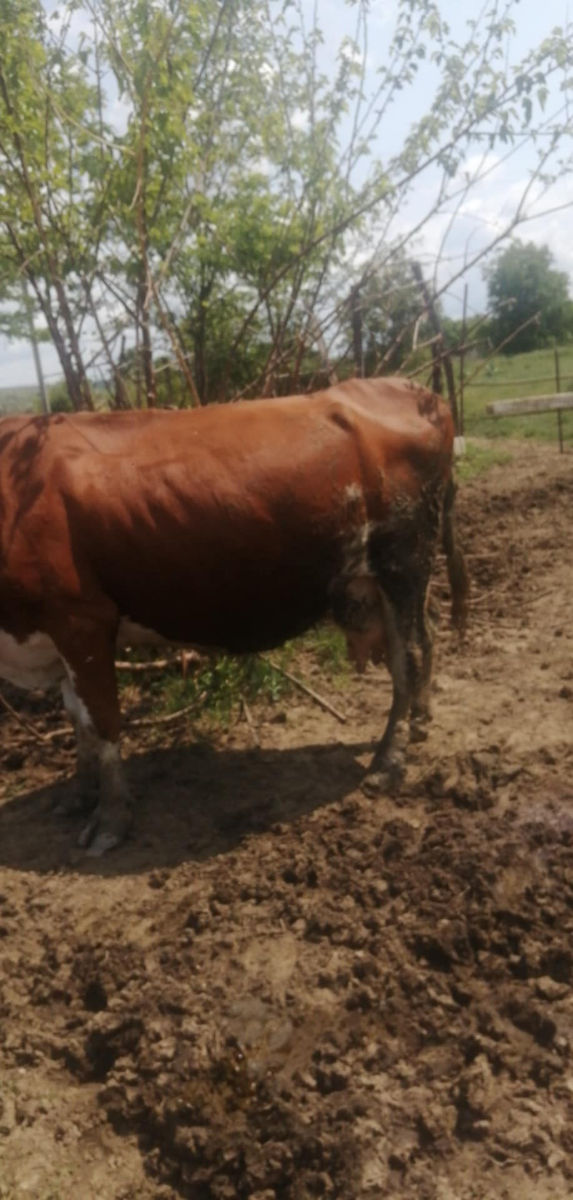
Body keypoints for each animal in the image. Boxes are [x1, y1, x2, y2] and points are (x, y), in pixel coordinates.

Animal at [0, 376, 468, 854]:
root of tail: (411, 389)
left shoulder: (82, 619)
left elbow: (102, 719)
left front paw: (111, 817)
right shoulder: (54, 635)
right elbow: (78, 718)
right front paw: (78, 793)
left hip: (403, 558)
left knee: (408, 654)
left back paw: (388, 763)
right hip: (385, 580)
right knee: (426, 632)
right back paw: (420, 721)